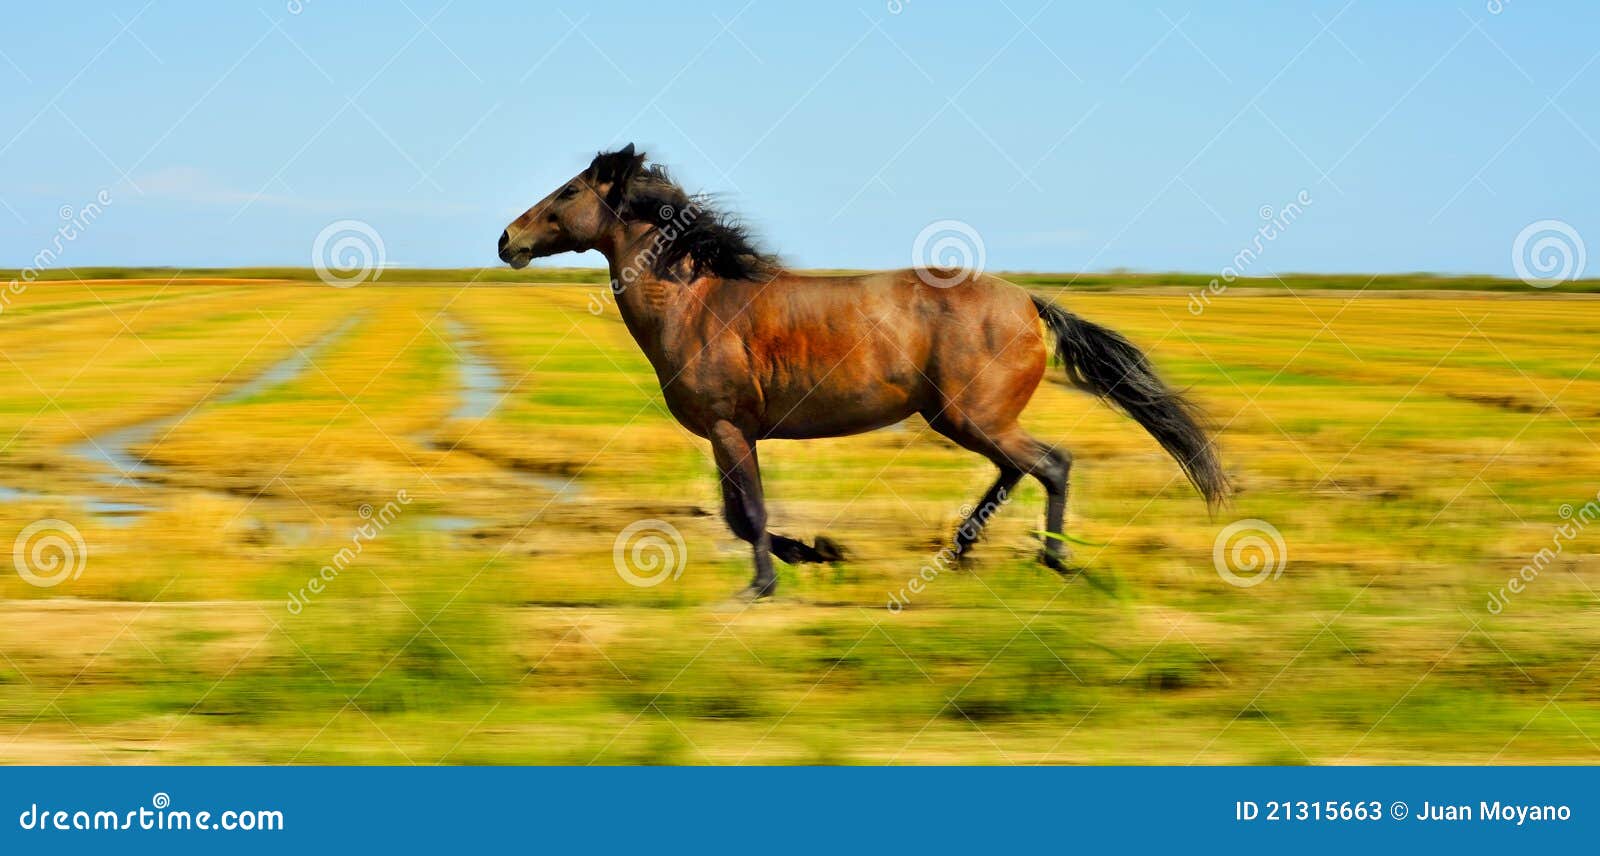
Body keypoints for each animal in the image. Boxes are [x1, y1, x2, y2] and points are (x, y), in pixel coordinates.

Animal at [499, 145, 1228, 599]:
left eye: (568, 191)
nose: (508, 239)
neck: (696, 299)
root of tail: (1028, 302)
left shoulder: (731, 428)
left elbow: (749, 514)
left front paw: (763, 585)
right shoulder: (732, 433)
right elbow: (738, 516)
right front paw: (816, 552)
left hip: (973, 416)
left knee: (1051, 463)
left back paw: (1054, 559)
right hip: (964, 419)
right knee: (1018, 470)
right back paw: (960, 551)